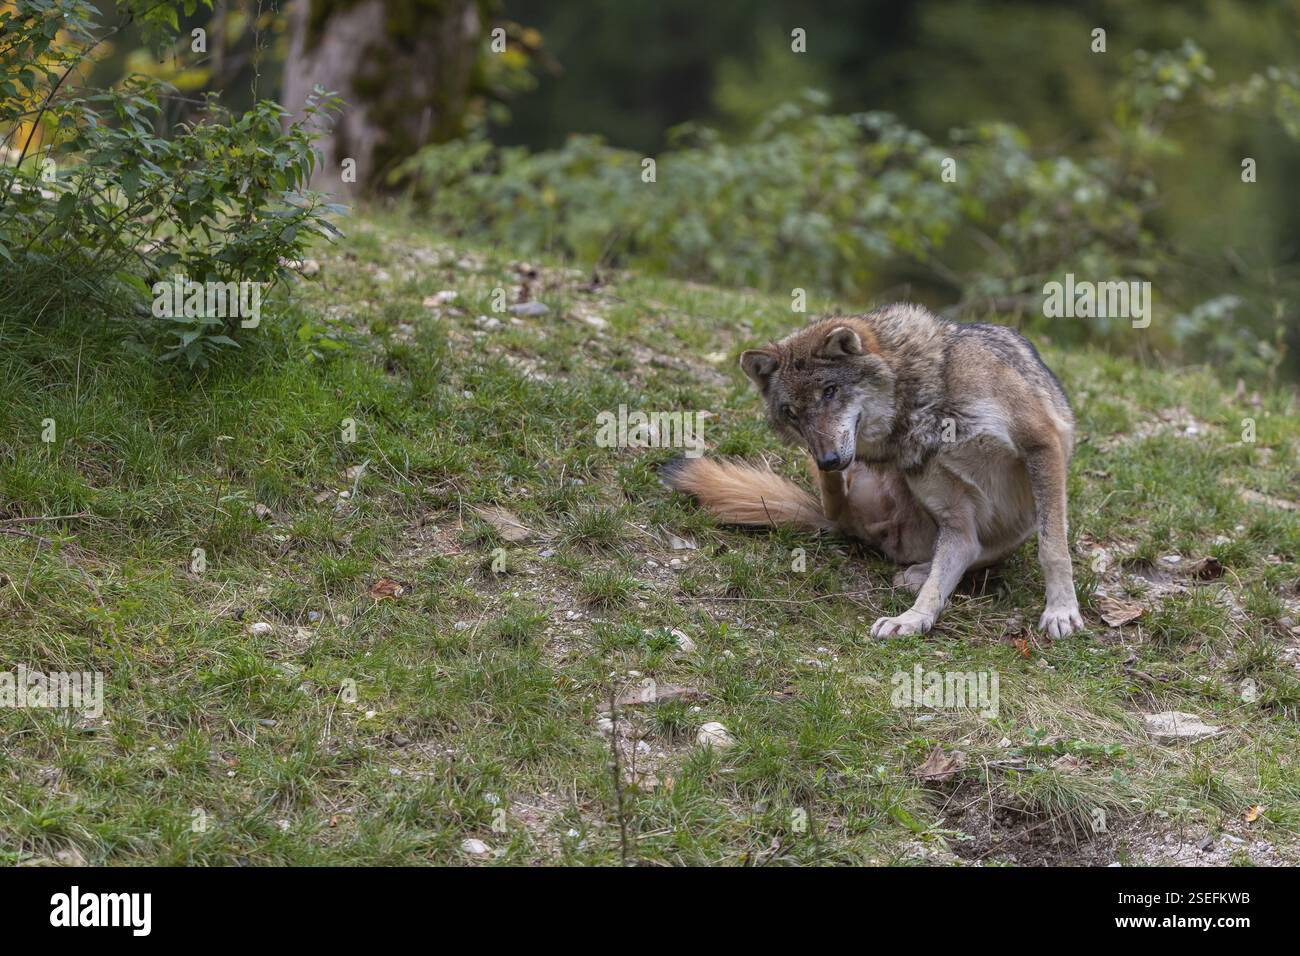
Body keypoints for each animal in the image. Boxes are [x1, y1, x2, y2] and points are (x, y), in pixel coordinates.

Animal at [662, 304, 1084, 638]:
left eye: (830, 391)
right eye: (792, 413)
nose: (828, 459)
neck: (923, 400)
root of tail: (853, 525)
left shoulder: (1040, 444)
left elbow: (1052, 548)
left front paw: (1061, 610)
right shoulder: (949, 507)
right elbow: (945, 576)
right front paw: (912, 619)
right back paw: (915, 581)